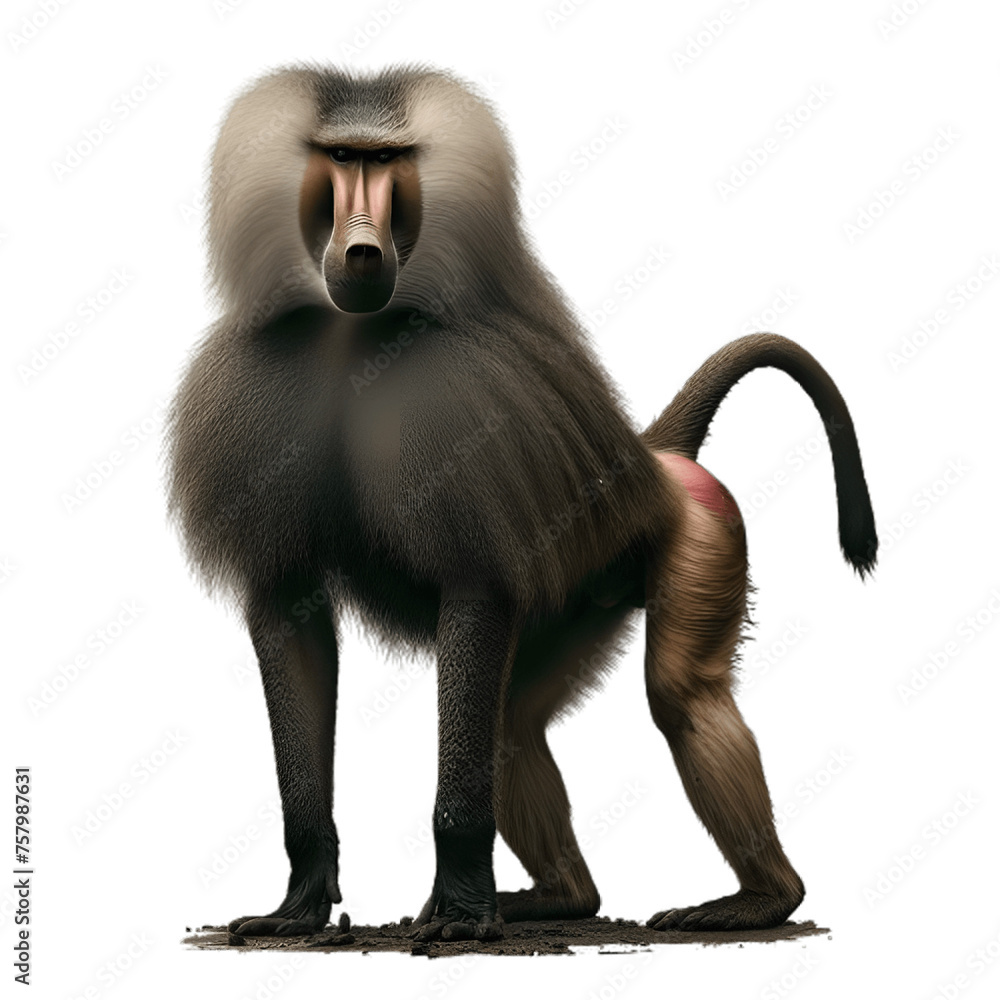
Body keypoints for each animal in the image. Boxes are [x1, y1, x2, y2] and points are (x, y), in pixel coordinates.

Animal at [166, 64, 876, 943]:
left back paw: (760, 899)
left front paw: (465, 910)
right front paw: (301, 902)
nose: (362, 249)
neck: (353, 337)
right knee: (513, 729)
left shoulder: (467, 409)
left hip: (705, 533)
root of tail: (655, 457)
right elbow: (289, 613)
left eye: (389, 160)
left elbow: (476, 591)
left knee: (680, 698)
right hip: (584, 603)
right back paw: (561, 898)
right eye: (339, 156)